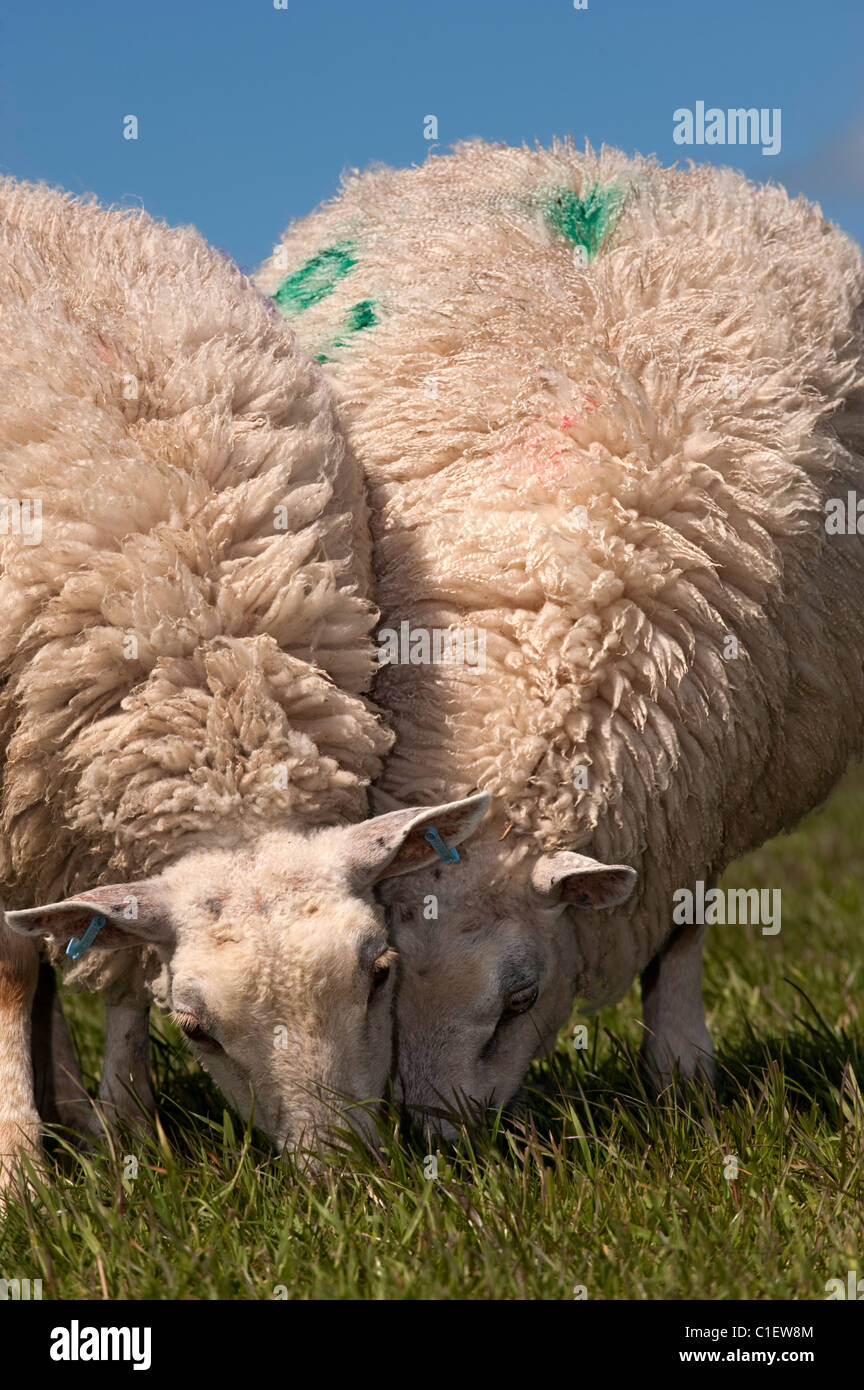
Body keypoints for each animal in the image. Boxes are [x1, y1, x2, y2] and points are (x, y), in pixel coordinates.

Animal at [0, 175, 490, 1195]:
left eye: (381, 972)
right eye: (199, 1031)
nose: (341, 1183)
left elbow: (116, 970)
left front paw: (128, 1130)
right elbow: (19, 974)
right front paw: (19, 1170)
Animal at [257, 139, 864, 1134]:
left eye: (519, 999)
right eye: (386, 980)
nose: (437, 1139)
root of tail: (573, 155)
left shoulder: (705, 798)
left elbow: (682, 932)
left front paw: (680, 1069)